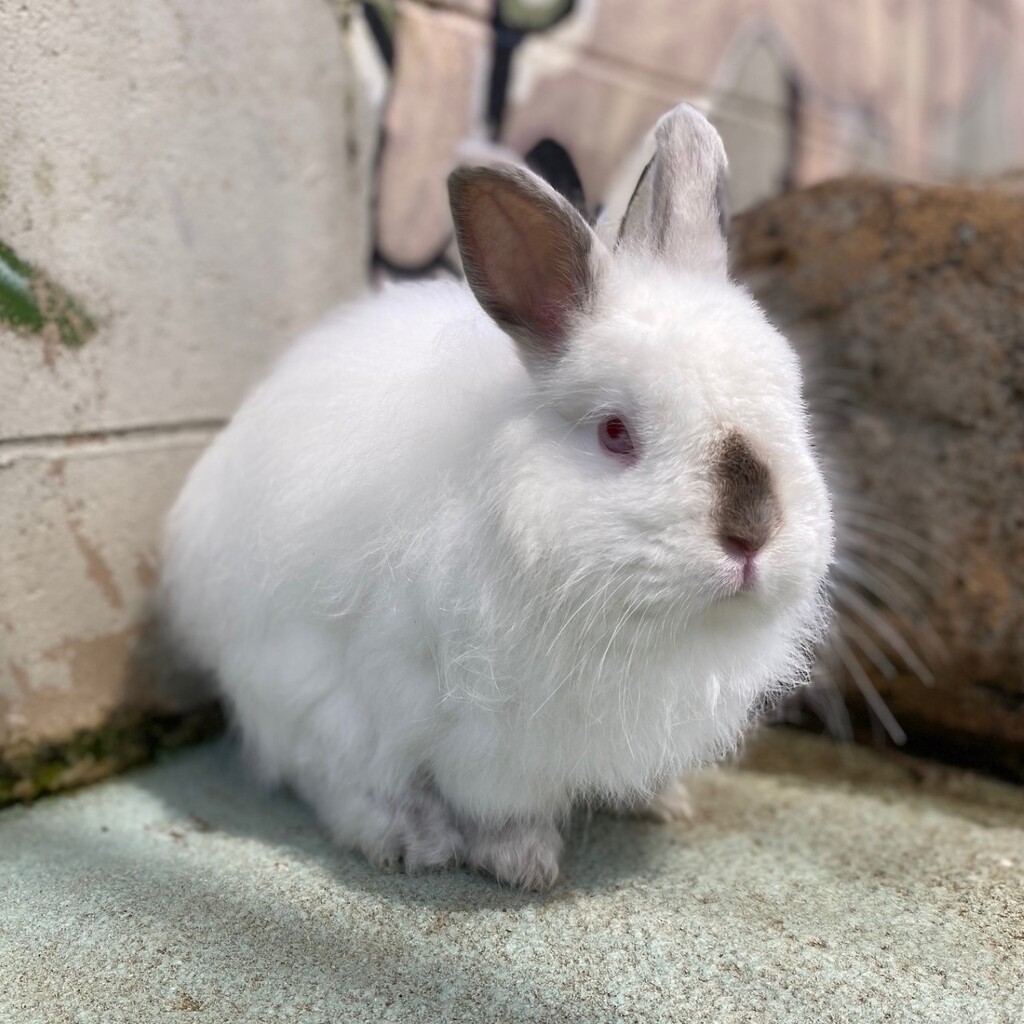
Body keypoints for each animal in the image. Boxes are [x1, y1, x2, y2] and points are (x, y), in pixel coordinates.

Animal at [160, 104, 834, 890]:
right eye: (615, 432)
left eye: (790, 402)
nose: (753, 533)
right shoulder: (461, 721)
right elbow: (492, 804)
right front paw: (524, 861)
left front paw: (665, 802)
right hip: (296, 684)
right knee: (331, 772)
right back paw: (409, 839)